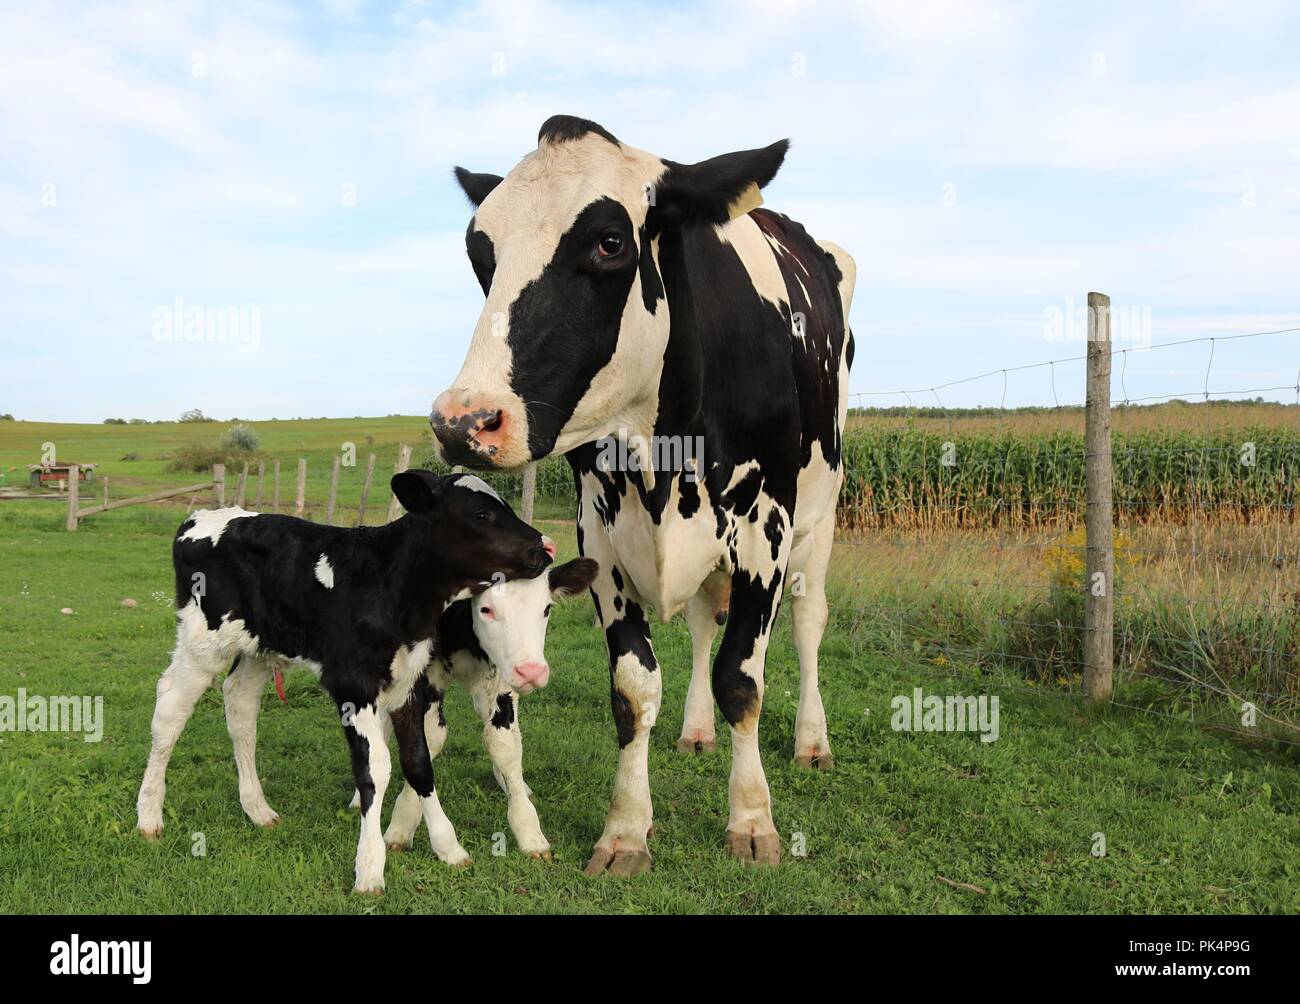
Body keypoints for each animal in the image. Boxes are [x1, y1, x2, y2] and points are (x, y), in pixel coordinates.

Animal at [135, 470, 556, 893]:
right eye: (482, 514)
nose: (546, 546)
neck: (389, 585)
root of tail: (202, 516)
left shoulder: (407, 684)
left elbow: (418, 762)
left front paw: (448, 847)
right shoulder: (354, 686)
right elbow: (375, 768)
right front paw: (369, 868)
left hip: (258, 646)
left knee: (240, 706)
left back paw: (257, 809)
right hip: (202, 642)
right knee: (169, 711)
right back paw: (149, 815)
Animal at [430, 115, 856, 875]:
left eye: (609, 241)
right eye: (482, 253)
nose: (463, 422)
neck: (662, 449)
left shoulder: (765, 528)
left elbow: (743, 677)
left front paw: (752, 820)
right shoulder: (599, 534)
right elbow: (633, 688)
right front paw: (626, 831)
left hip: (821, 514)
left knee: (809, 620)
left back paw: (812, 741)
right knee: (703, 621)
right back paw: (696, 731)